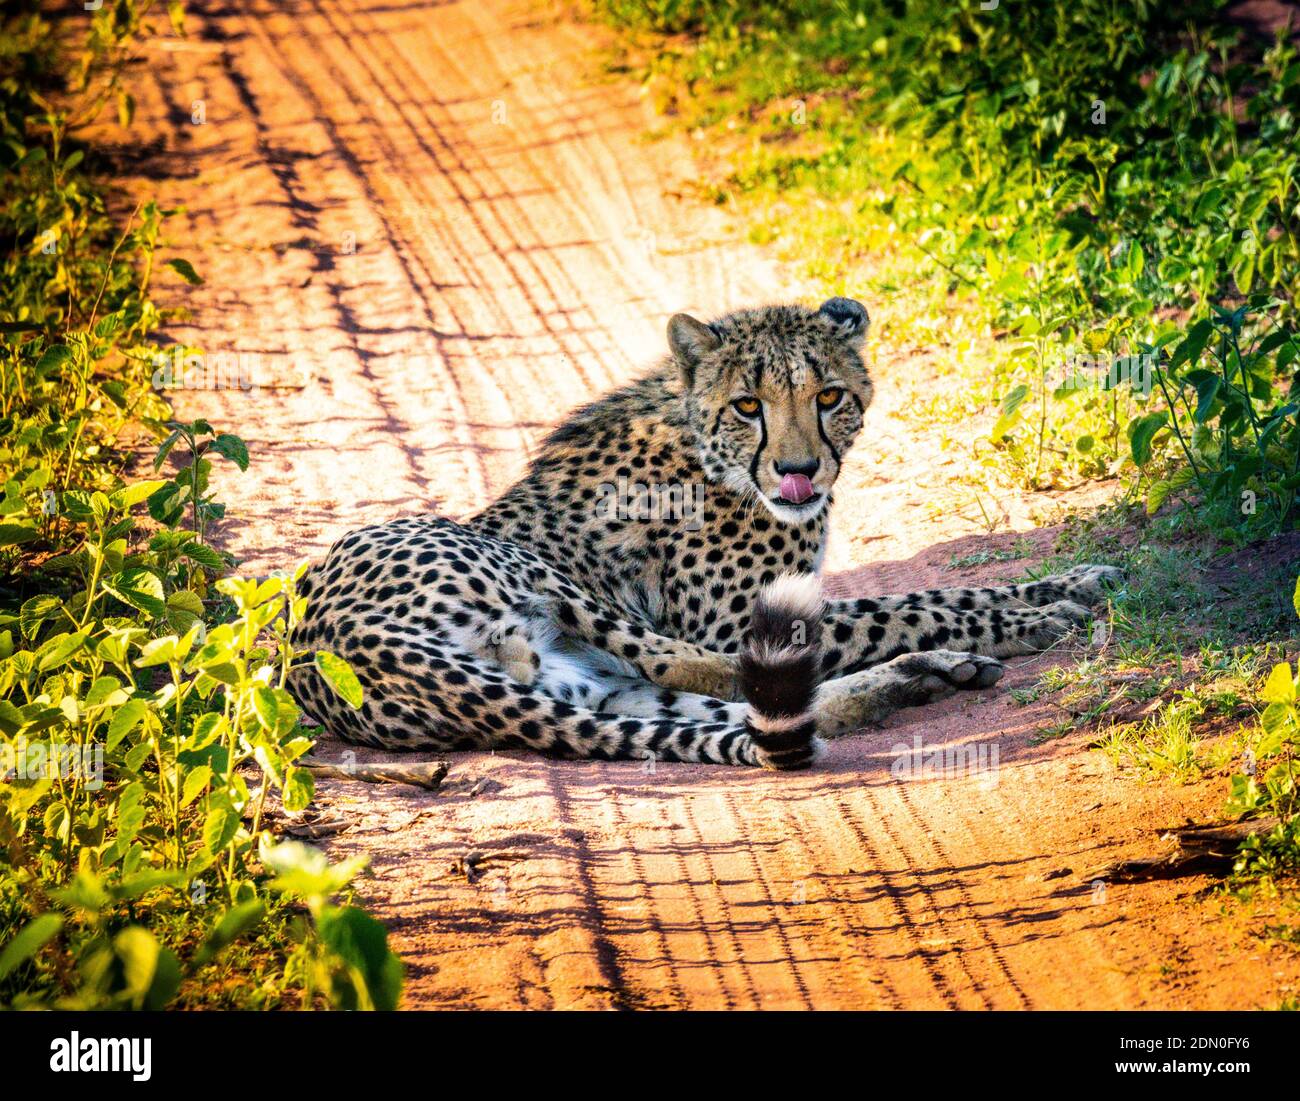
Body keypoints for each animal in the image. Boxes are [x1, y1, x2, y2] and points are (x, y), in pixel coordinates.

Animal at [288, 297, 1122, 769]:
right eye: (749, 404)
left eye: (829, 396)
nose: (799, 471)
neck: (703, 441)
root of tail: (313, 645)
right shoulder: (736, 618)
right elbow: (912, 604)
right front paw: (1037, 616)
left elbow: (939, 591)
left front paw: (1076, 580)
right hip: (544, 585)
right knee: (719, 673)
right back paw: (925, 667)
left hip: (587, 687)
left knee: (745, 710)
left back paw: (915, 679)